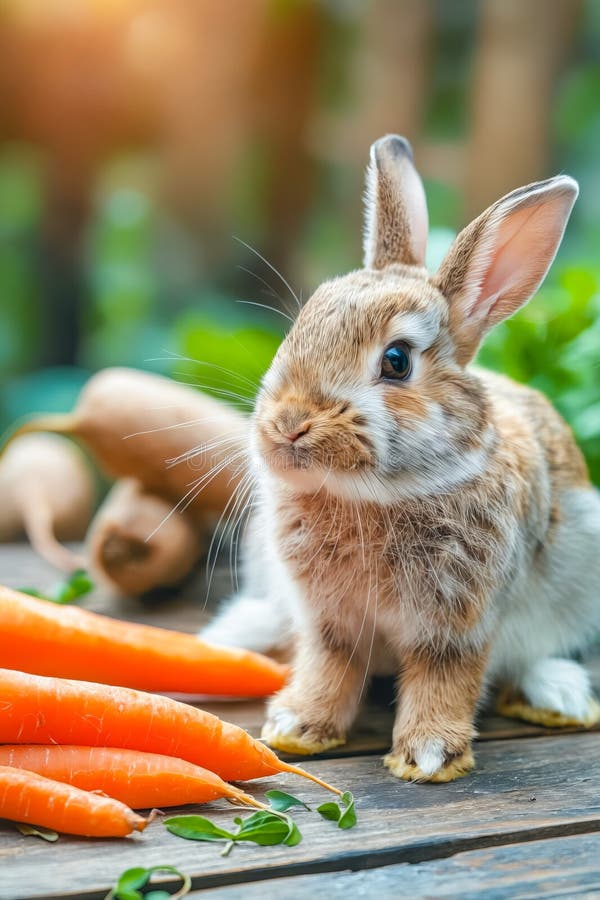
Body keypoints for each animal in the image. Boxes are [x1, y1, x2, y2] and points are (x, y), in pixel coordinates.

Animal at [202, 134, 600, 781]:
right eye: (300, 326)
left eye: (396, 361)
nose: (287, 424)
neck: (373, 498)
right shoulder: (329, 622)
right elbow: (328, 668)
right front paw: (297, 729)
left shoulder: (457, 624)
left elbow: (446, 678)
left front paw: (429, 756)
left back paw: (561, 696)